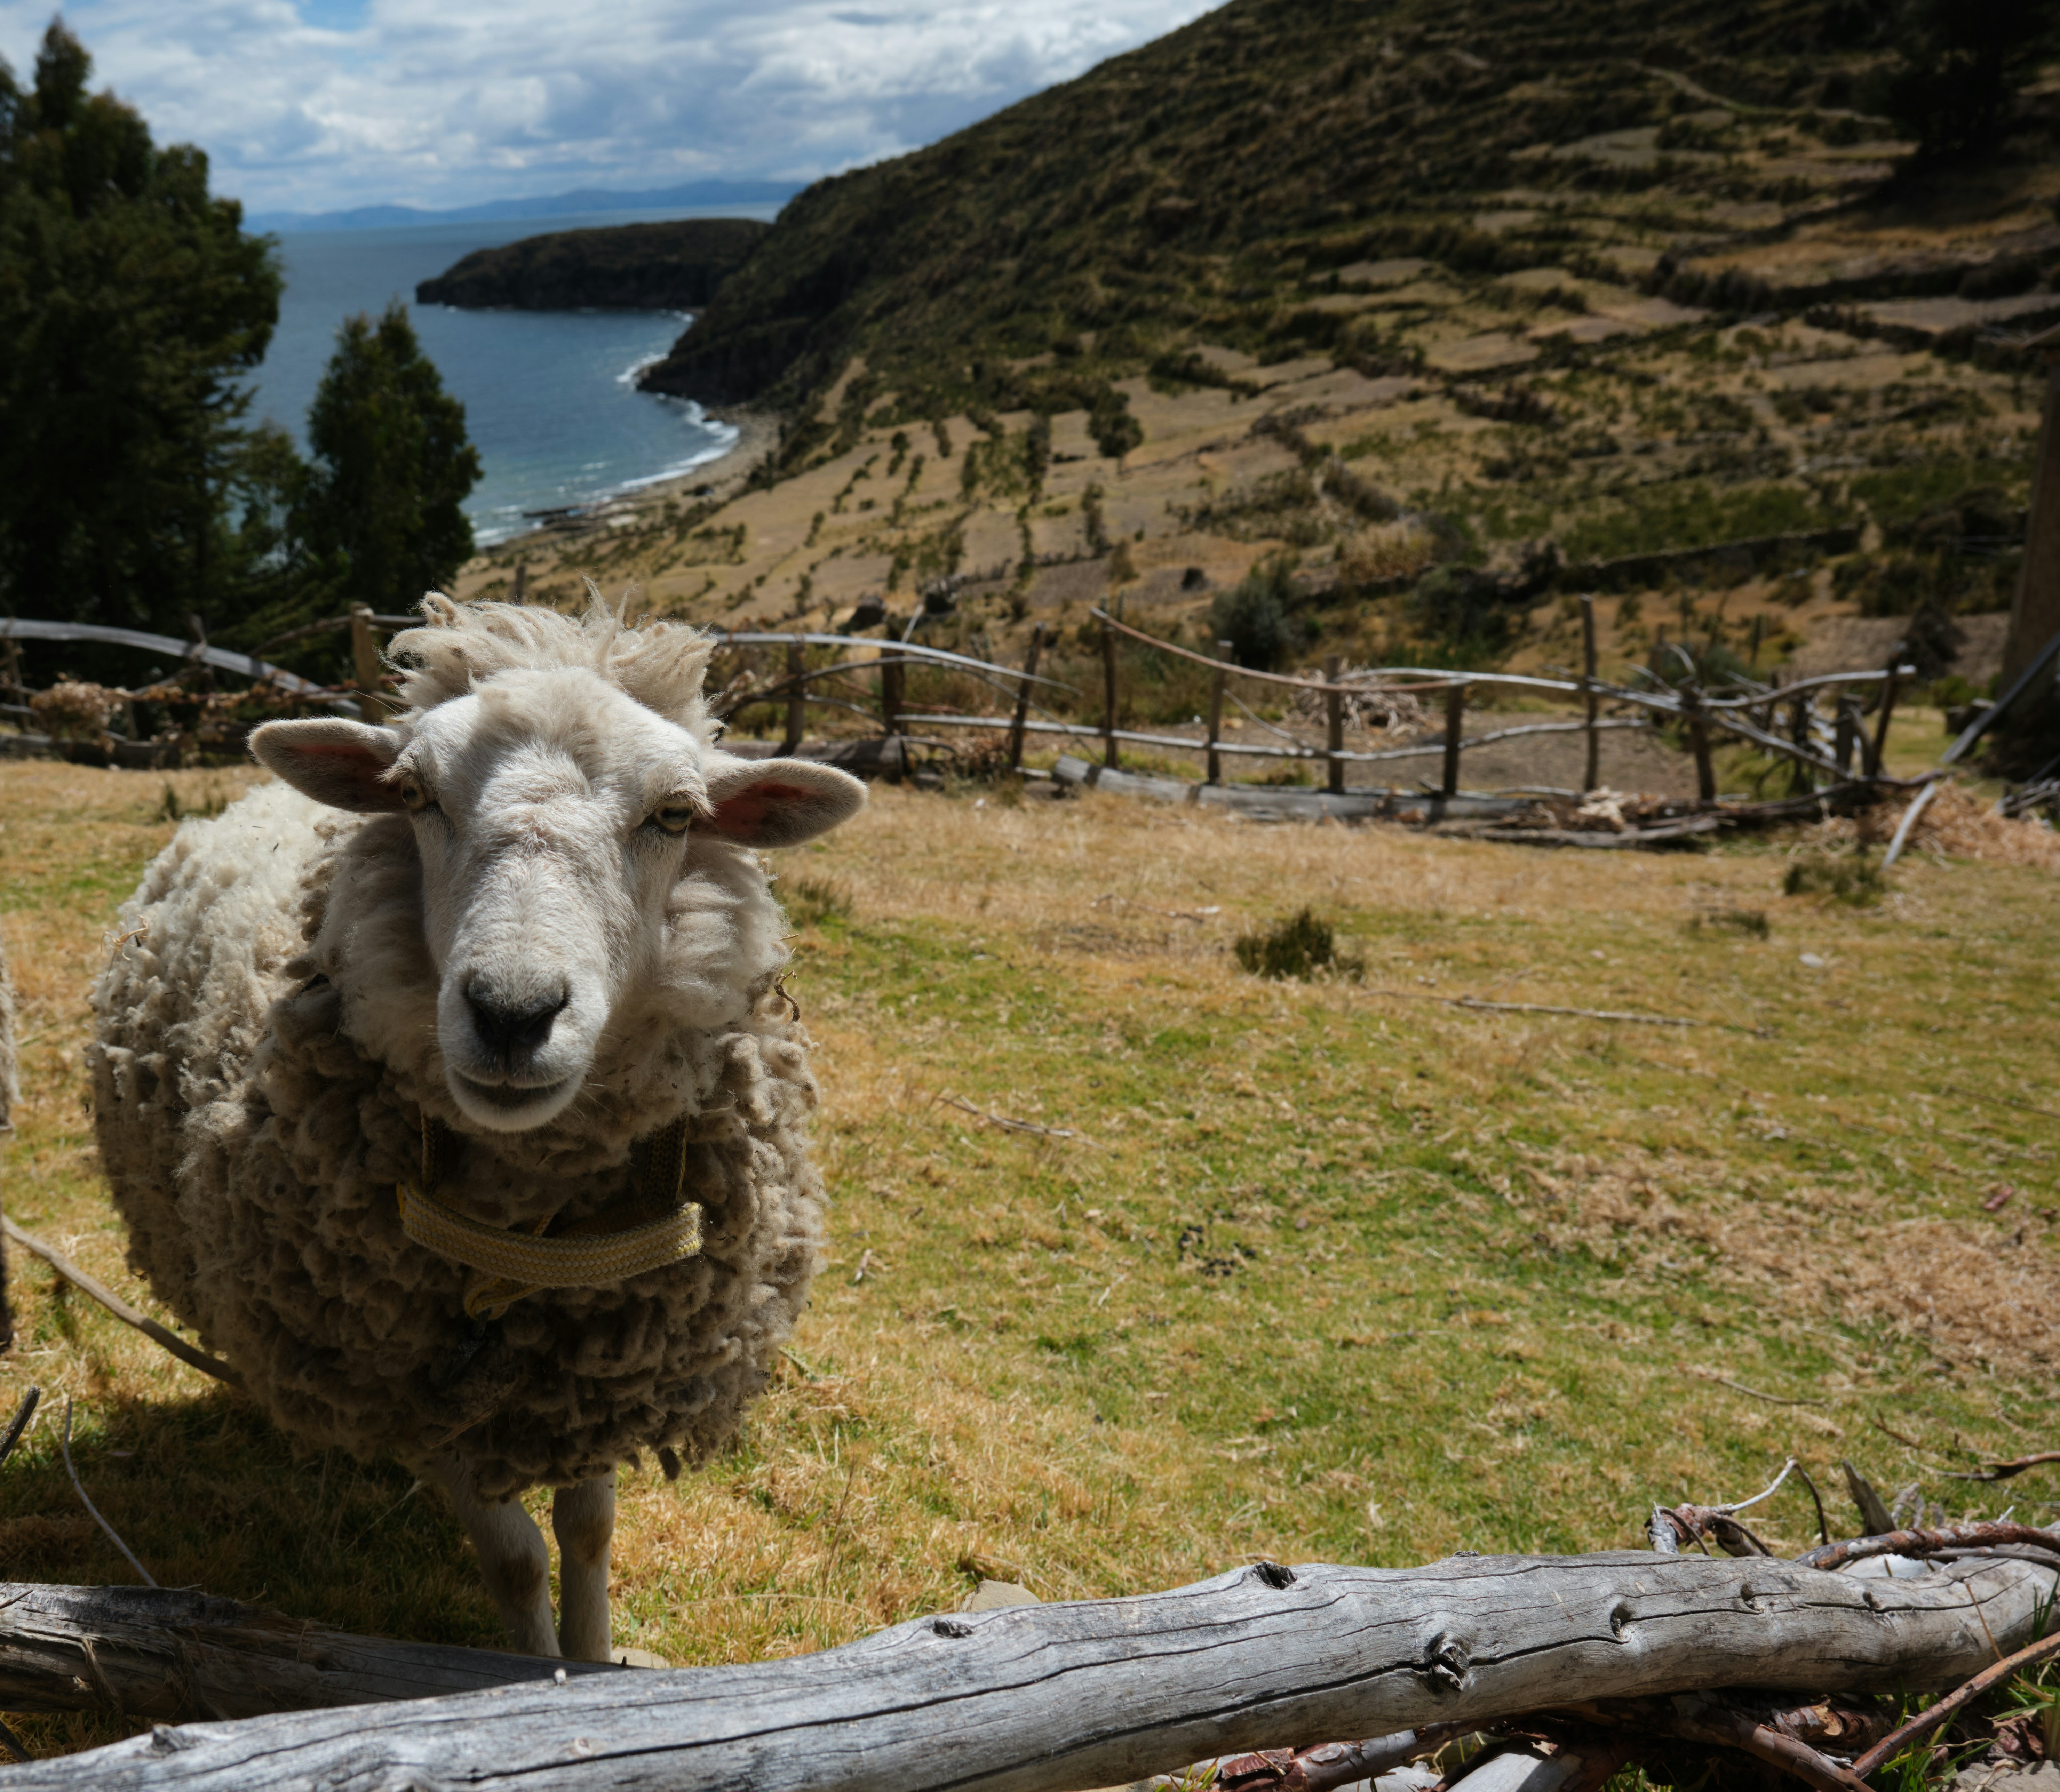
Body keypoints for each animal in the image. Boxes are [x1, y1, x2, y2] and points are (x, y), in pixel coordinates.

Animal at [89, 596, 866, 1658]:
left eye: (675, 815)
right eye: (415, 794)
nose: (512, 1011)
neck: (530, 1232)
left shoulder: (601, 1362)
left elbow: (588, 1530)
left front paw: (598, 1661)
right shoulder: (419, 1386)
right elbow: (516, 1560)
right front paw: (531, 1679)